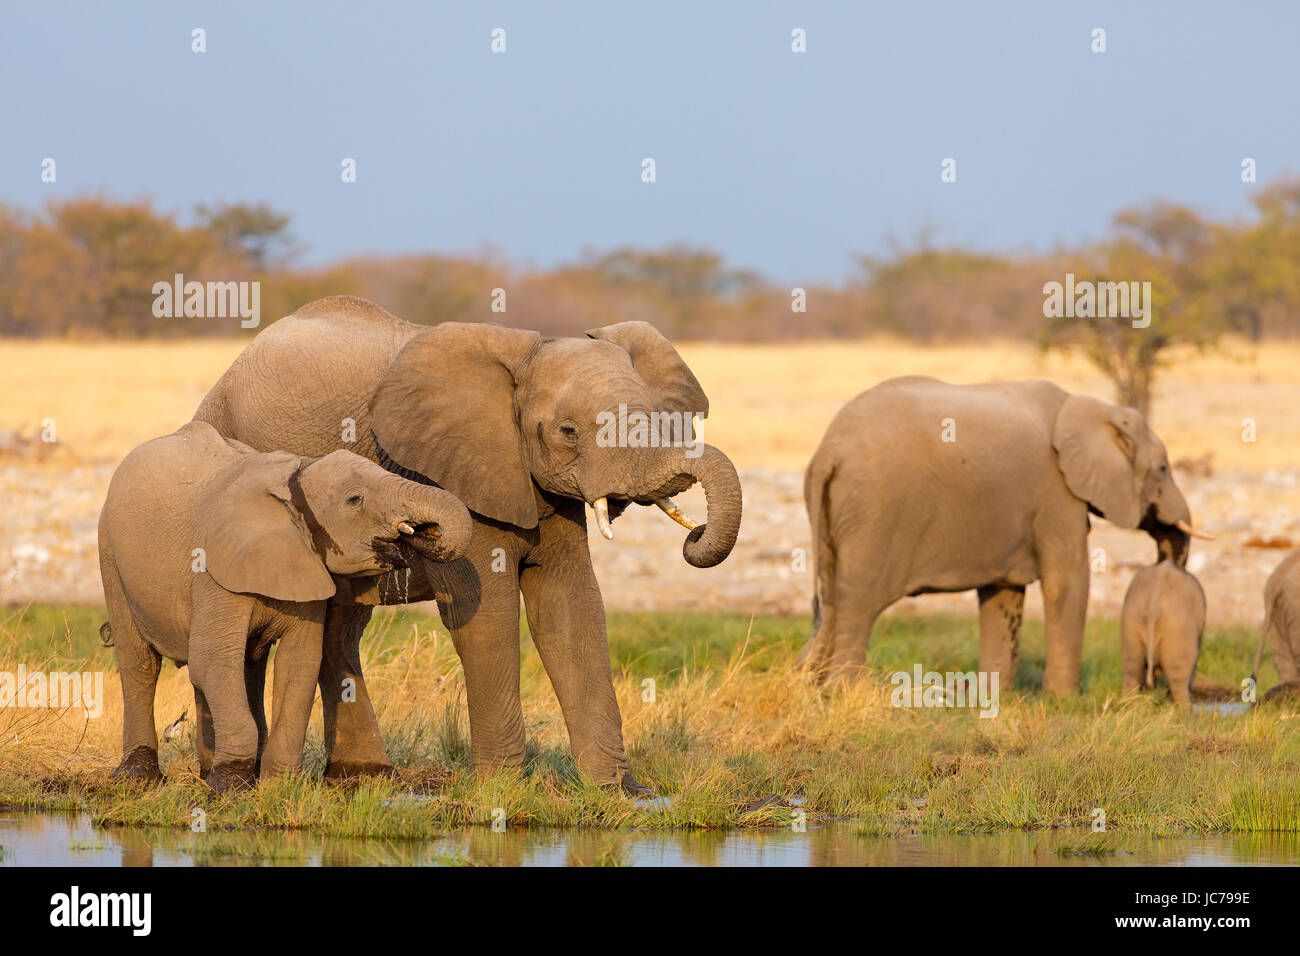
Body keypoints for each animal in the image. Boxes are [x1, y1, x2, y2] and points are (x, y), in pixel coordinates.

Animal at [98, 420, 472, 792]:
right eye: (355, 499)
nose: (421, 533)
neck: (298, 474)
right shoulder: (213, 571)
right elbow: (212, 659)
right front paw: (231, 786)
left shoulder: (308, 566)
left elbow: (299, 664)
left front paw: (279, 786)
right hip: (111, 556)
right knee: (142, 663)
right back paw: (139, 776)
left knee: (246, 667)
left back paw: (208, 772)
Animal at [192, 295, 742, 794]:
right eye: (568, 431)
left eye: (655, 418)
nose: (695, 535)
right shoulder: (460, 467)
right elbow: (486, 615)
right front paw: (503, 791)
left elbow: (572, 608)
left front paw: (621, 793)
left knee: (340, 627)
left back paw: (364, 777)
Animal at [1120, 561, 1206, 704]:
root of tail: (1153, 606)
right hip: (1177, 629)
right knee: (1178, 677)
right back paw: (1185, 709)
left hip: (1131, 622)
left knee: (1131, 668)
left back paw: (1128, 706)